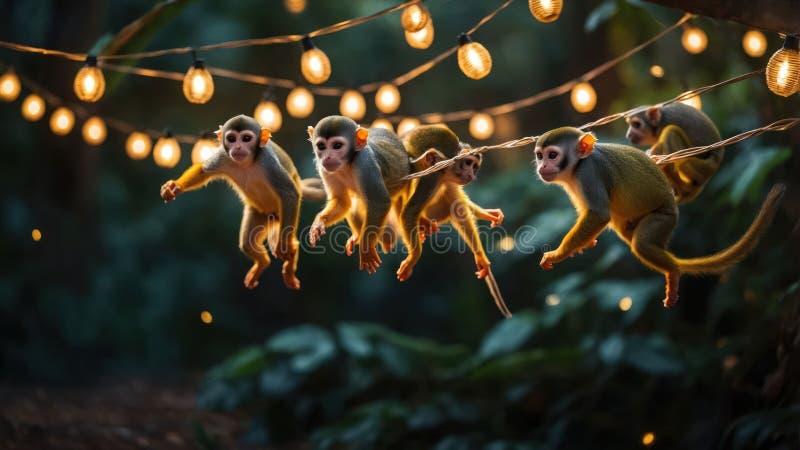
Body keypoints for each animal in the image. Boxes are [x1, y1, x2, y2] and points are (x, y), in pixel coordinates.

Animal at [160, 114, 307, 291]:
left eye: (246, 139)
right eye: (231, 139)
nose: (237, 147)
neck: (247, 163)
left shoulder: (267, 161)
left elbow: (289, 193)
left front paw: (283, 244)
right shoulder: (223, 155)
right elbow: (203, 170)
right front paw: (176, 186)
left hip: (285, 215)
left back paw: (290, 256)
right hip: (259, 212)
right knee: (247, 243)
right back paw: (262, 263)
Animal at [307, 115, 411, 274]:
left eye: (337, 145)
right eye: (321, 146)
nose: (327, 157)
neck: (347, 163)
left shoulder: (364, 162)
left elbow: (379, 202)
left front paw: (366, 248)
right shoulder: (324, 169)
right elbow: (342, 202)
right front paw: (319, 222)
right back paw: (359, 235)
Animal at [534, 127, 784, 308]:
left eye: (552, 155)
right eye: (539, 156)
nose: (542, 166)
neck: (576, 167)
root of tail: (673, 206)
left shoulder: (588, 173)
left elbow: (598, 214)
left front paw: (558, 253)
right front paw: (583, 245)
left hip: (665, 217)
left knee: (641, 244)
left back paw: (672, 271)